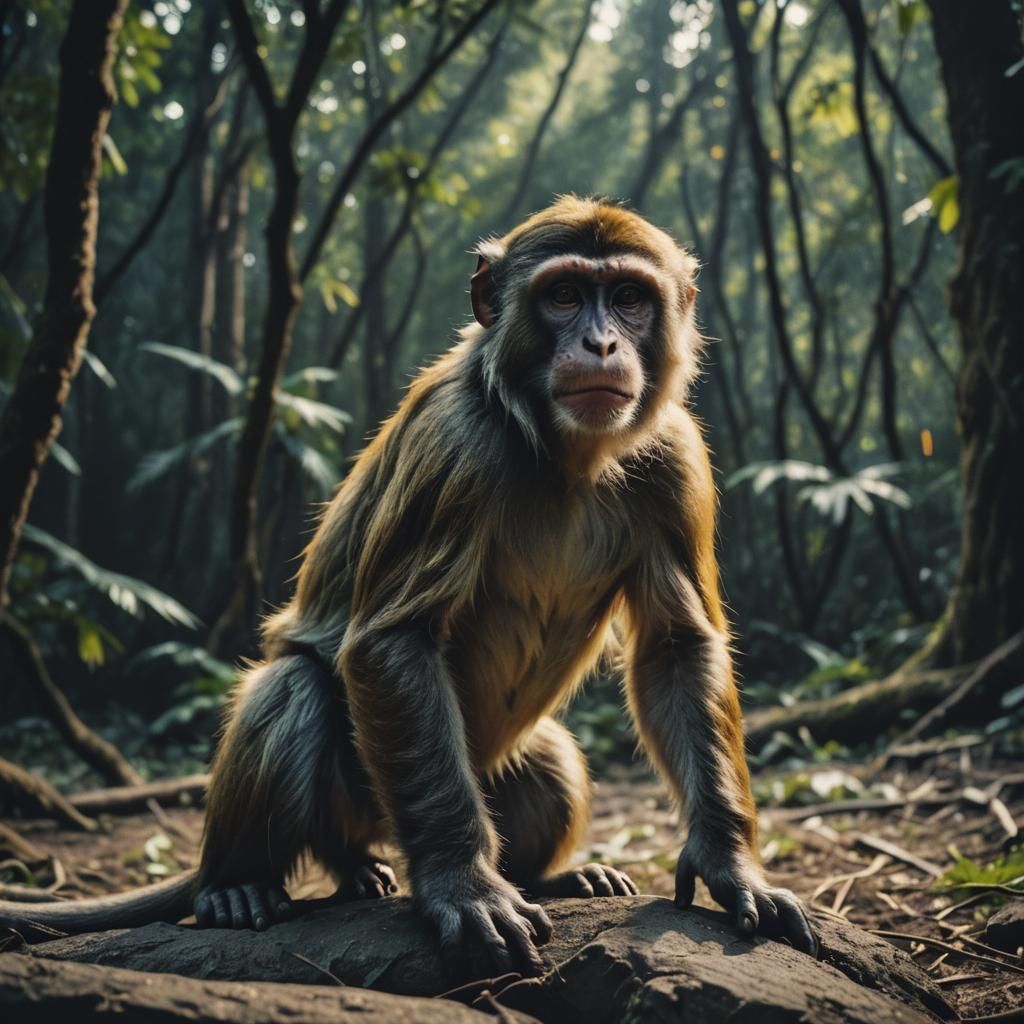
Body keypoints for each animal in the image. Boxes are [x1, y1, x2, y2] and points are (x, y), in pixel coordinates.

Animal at [0, 196, 817, 970]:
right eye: (562, 296)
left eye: (627, 297)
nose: (602, 343)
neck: (563, 454)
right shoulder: (454, 444)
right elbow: (394, 641)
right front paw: (462, 883)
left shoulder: (675, 458)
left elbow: (677, 647)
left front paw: (729, 863)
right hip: (362, 796)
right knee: (294, 691)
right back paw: (249, 879)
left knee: (550, 758)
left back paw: (543, 876)